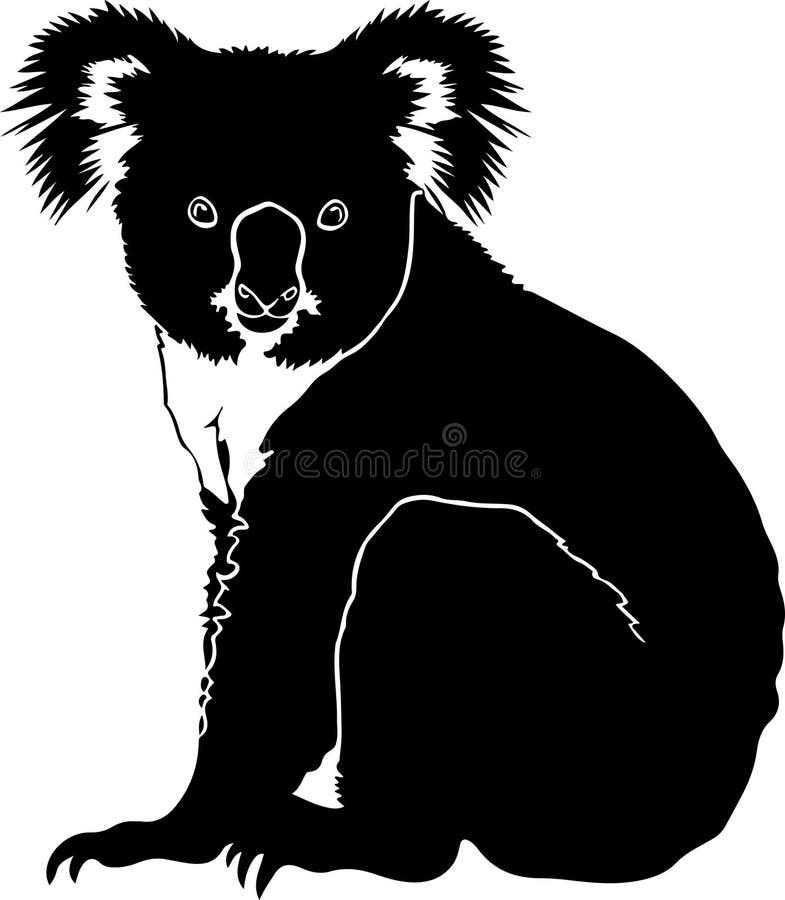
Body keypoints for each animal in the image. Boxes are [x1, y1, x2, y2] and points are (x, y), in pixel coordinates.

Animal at [7, 4, 783, 897]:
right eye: (200, 211)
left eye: (333, 215)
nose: (266, 297)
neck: (268, 372)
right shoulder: (219, 481)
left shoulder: (351, 448)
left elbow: (278, 625)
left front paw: (171, 834)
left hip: (579, 703)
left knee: (422, 561)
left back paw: (327, 839)